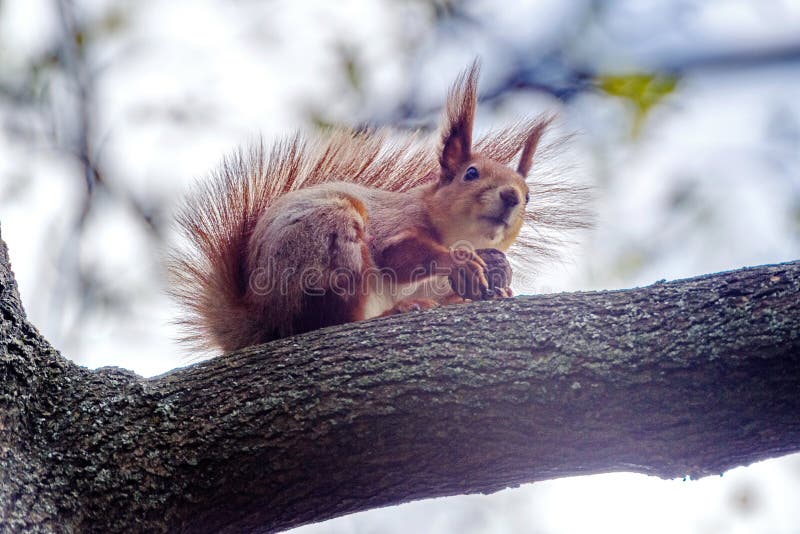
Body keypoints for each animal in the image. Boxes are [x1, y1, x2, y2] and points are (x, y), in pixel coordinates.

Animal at [169, 62, 589, 353]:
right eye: (470, 173)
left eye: (529, 195)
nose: (512, 197)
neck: (453, 231)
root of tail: (261, 318)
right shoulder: (395, 223)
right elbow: (396, 255)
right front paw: (459, 262)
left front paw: (499, 274)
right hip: (328, 242)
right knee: (327, 323)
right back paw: (395, 310)